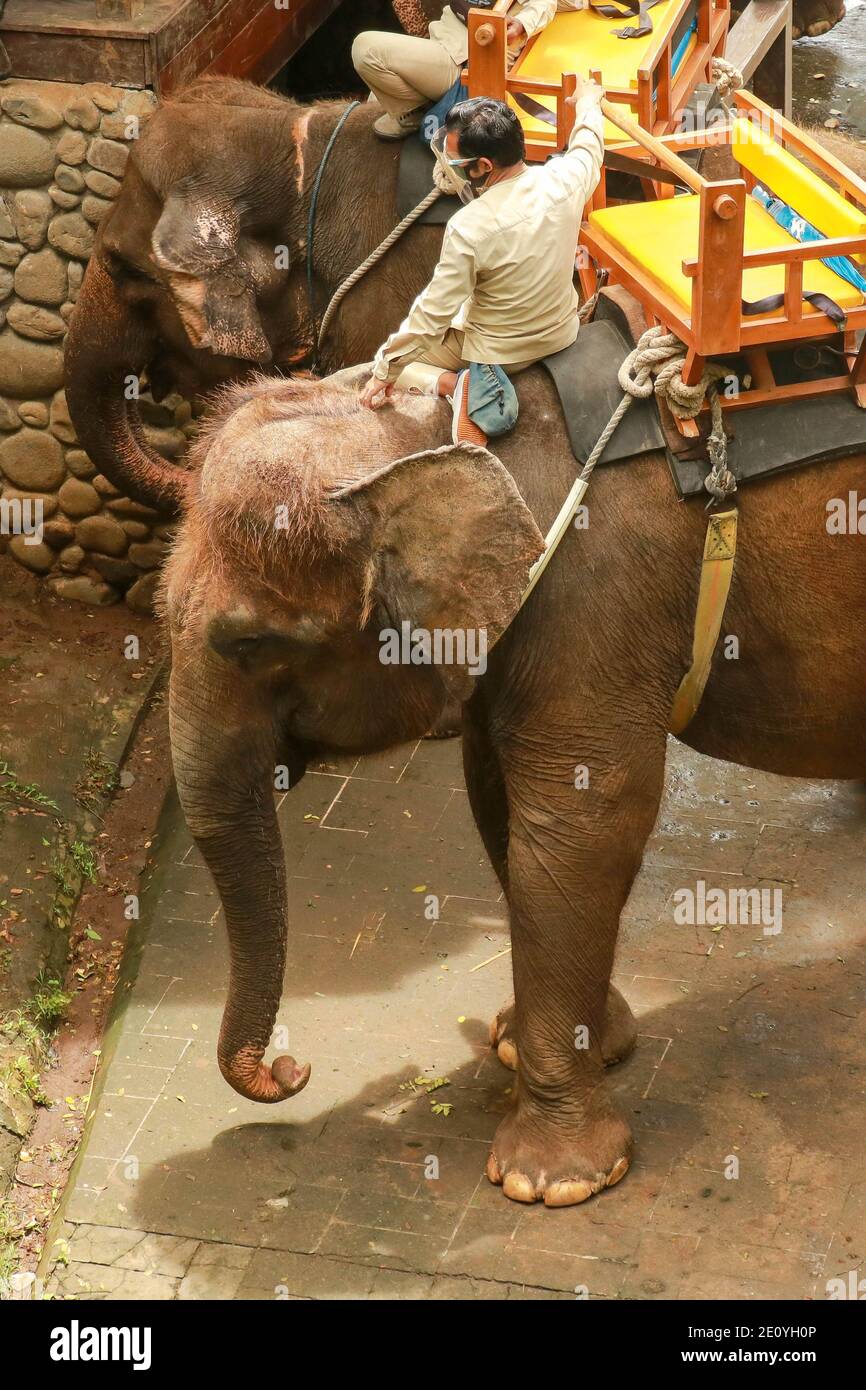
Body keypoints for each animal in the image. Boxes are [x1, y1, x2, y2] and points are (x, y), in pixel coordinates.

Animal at [163, 361, 866, 1207]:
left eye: (250, 642)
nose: (291, 1069)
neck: (441, 430)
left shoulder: (592, 602)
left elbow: (580, 829)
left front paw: (551, 1180)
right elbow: (496, 799)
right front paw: (524, 1043)